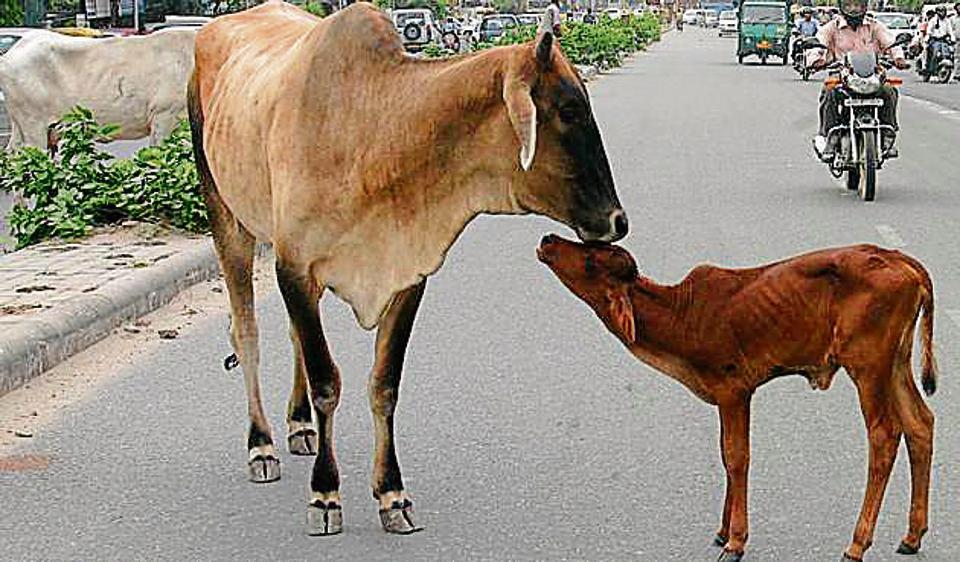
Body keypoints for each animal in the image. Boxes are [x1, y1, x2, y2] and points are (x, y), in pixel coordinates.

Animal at [188, 1, 627, 535]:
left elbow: (384, 384)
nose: (618, 221)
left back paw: (298, 427)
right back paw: (262, 445)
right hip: (226, 216)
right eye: (568, 110)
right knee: (247, 334)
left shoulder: (406, 274)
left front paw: (391, 494)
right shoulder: (294, 265)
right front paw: (326, 494)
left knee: (293, 338)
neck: (376, 132)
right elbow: (326, 381)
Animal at [537, 235, 937, 562]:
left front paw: (735, 541)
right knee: (920, 424)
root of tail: (902, 260)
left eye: (591, 261)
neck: (683, 315)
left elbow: (736, 456)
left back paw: (856, 545)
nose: (548, 239)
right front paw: (722, 530)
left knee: (884, 436)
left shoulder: (735, 390)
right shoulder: (724, 396)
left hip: (868, 366)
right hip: (896, 362)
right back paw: (912, 537)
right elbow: (724, 455)